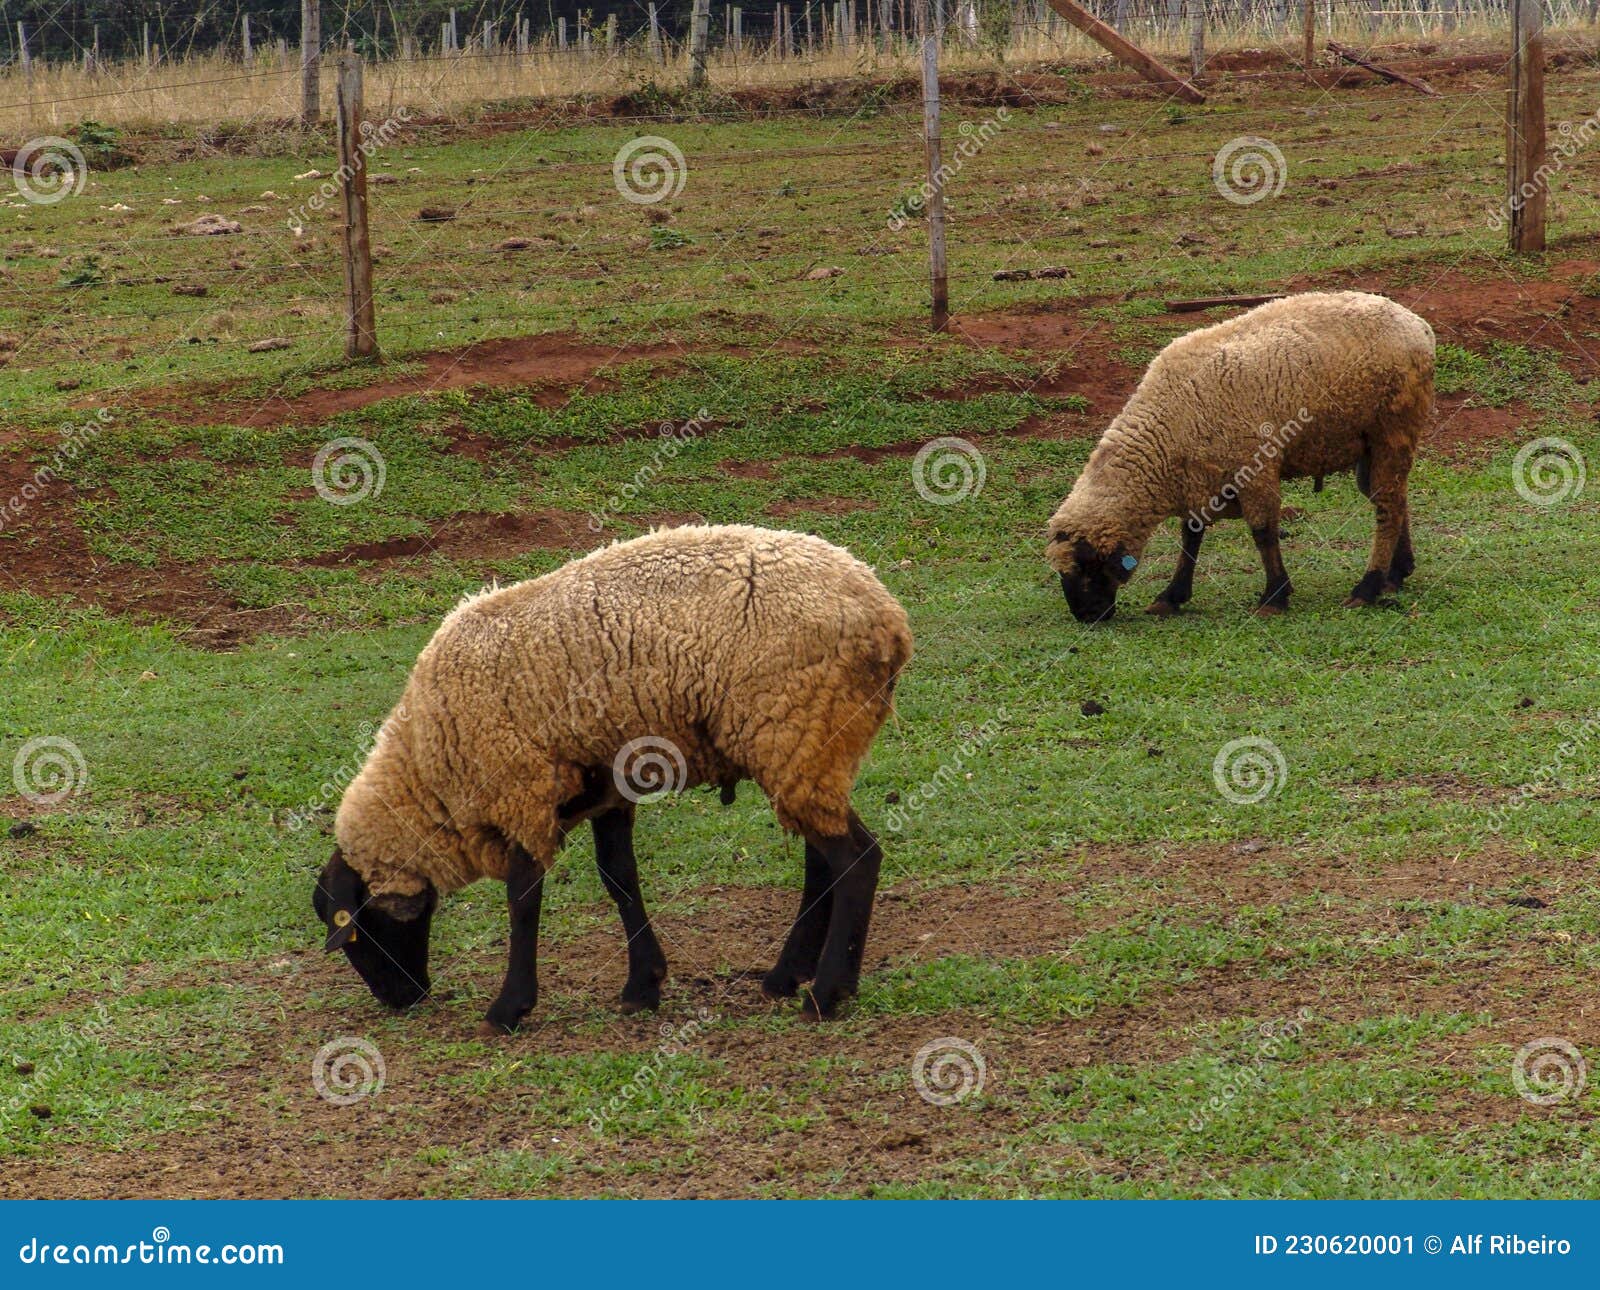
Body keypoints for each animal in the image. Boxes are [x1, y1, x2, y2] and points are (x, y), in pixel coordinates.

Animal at [313, 523, 913, 1031]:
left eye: (358, 935)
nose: (401, 999)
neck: (427, 767)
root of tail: (888, 618)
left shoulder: (521, 790)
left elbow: (523, 898)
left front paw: (509, 1007)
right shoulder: (604, 784)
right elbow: (619, 877)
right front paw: (642, 985)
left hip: (795, 732)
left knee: (856, 859)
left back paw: (827, 993)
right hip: (810, 745)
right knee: (824, 859)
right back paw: (788, 976)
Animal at [1045, 291, 1434, 622]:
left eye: (1087, 566)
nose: (1087, 616)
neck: (1166, 429)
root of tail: (1419, 326)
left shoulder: (1253, 468)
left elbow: (1263, 532)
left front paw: (1274, 596)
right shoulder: (1200, 476)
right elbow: (1191, 536)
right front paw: (1171, 596)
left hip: (1393, 426)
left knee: (1387, 505)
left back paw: (1368, 588)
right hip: (1370, 440)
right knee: (1391, 496)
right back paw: (1396, 574)